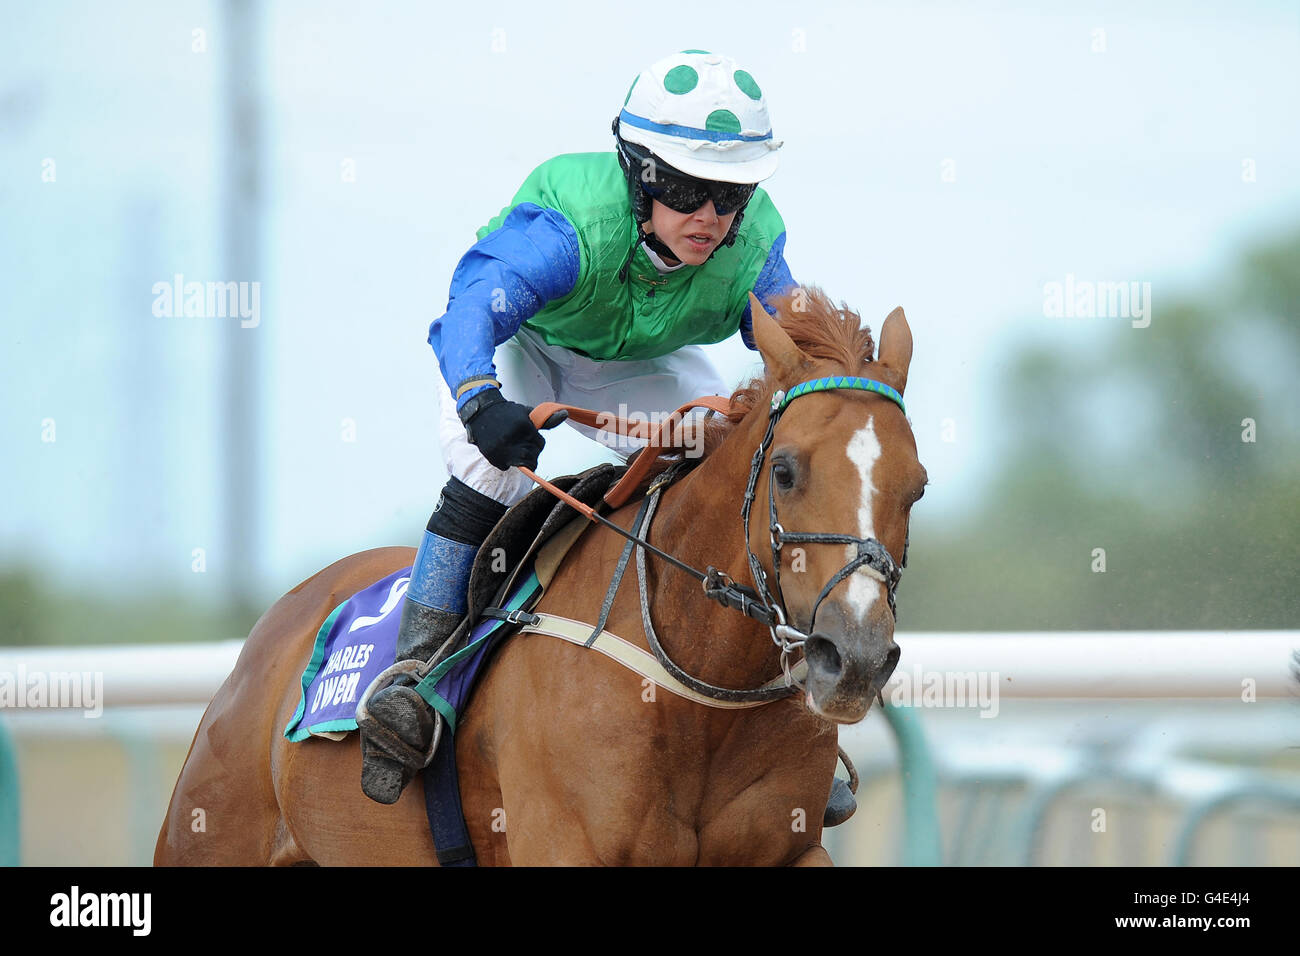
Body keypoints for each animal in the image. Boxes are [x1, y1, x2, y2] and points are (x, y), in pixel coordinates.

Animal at [154, 286, 927, 866]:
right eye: (786, 471)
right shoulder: (568, 845)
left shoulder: (791, 850)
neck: (696, 686)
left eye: (916, 487)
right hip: (210, 832)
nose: (855, 658)